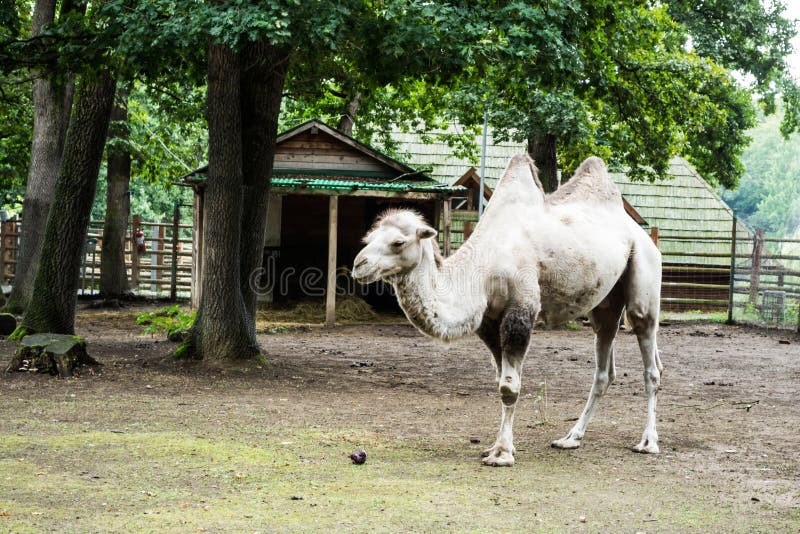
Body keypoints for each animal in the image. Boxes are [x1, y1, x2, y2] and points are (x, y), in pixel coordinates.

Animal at [352, 154, 663, 466]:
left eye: (398, 242)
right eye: (368, 239)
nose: (358, 265)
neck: (482, 269)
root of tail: (643, 235)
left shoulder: (521, 309)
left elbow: (509, 387)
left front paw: (502, 453)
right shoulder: (489, 322)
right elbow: (501, 381)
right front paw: (497, 447)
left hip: (644, 276)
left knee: (649, 358)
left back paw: (648, 442)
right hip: (605, 303)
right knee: (604, 365)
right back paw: (571, 438)